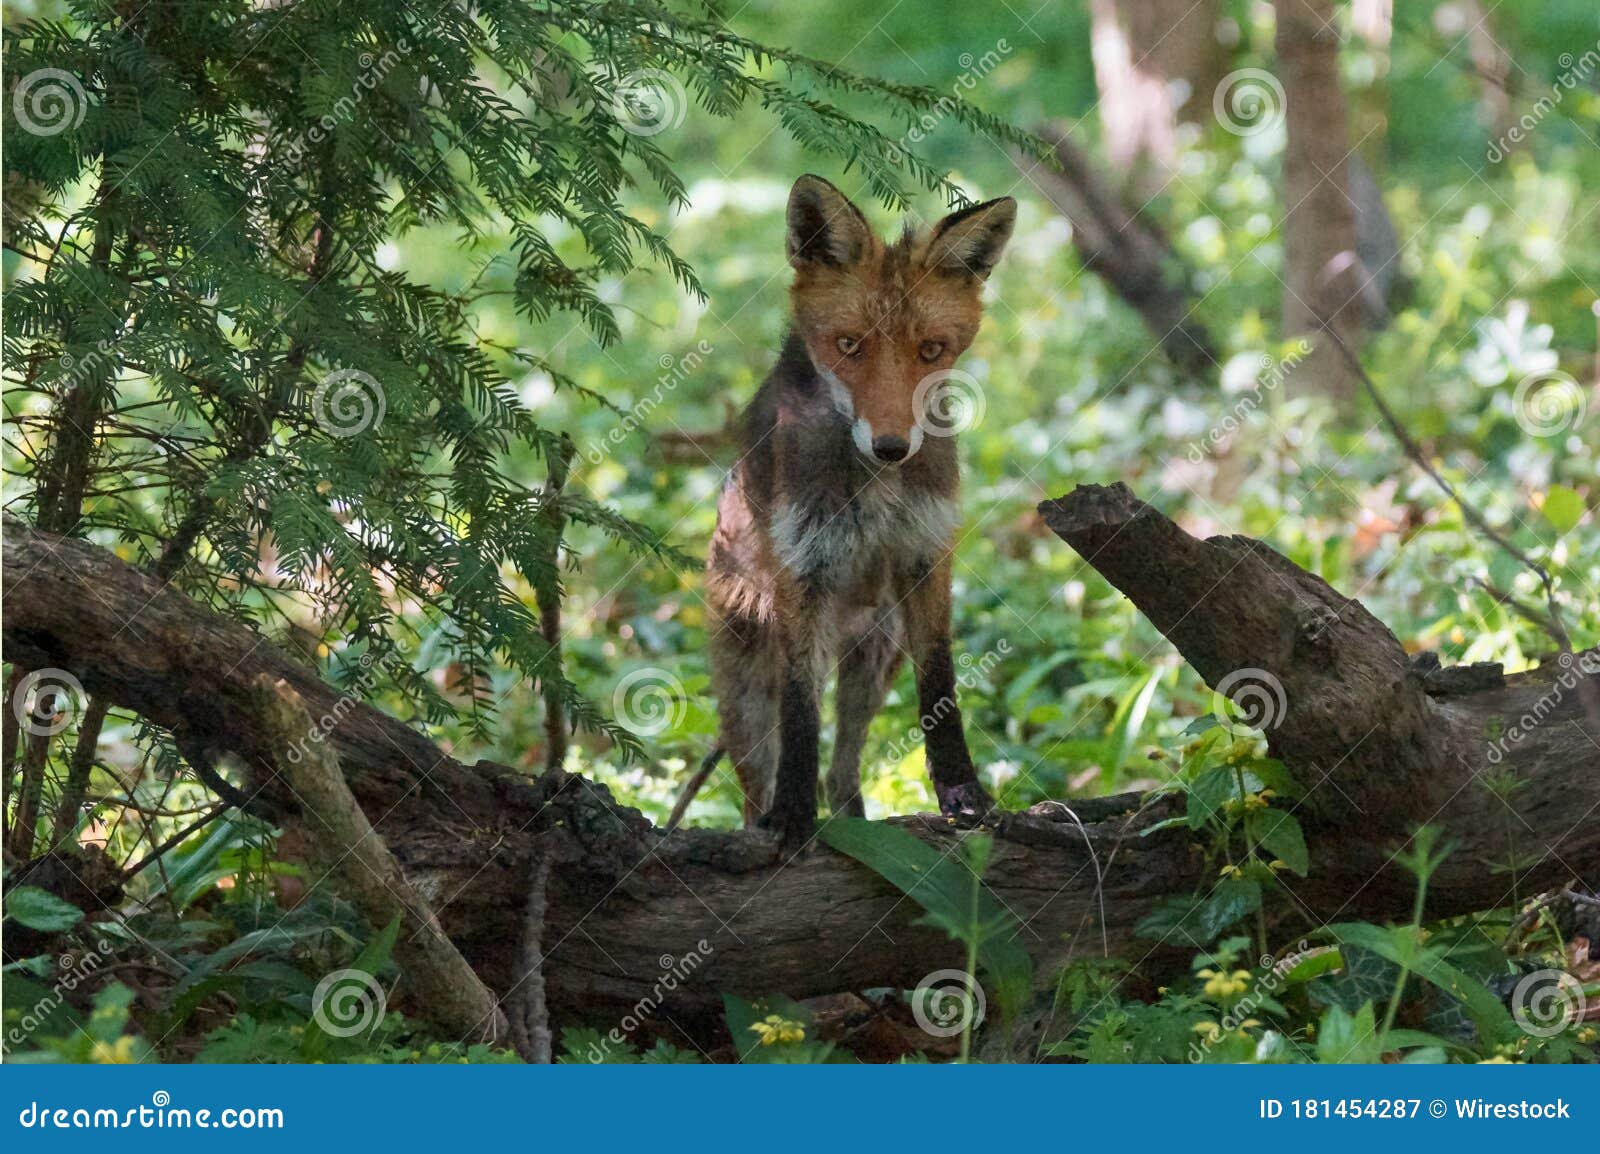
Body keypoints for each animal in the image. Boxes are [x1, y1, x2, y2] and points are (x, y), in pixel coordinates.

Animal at [670, 174, 1017, 847]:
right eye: (849, 345)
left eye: (931, 350)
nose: (892, 447)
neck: (876, 490)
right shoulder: (803, 571)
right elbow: (802, 712)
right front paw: (792, 818)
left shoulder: (925, 556)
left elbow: (941, 688)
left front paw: (963, 795)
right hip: (748, 690)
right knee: (756, 787)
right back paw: (772, 817)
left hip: (877, 656)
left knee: (843, 770)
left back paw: (857, 823)